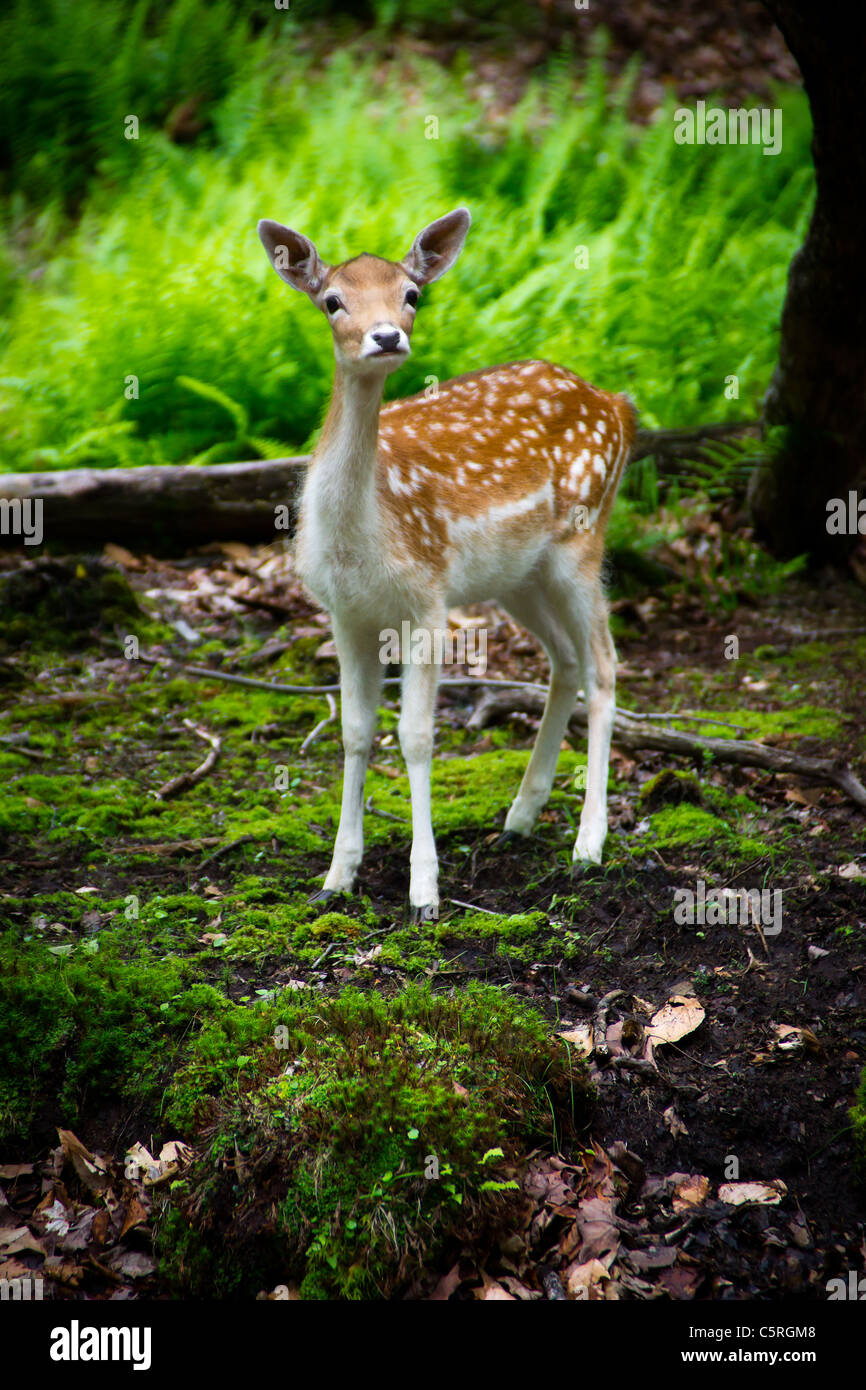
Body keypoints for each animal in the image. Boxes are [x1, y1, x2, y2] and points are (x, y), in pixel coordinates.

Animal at [258, 208, 636, 923]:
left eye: (411, 293)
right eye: (332, 300)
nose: (385, 336)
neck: (362, 533)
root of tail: (617, 404)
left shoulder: (427, 601)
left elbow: (415, 736)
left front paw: (424, 892)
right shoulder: (343, 613)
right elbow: (355, 731)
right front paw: (336, 877)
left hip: (582, 539)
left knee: (604, 665)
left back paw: (588, 843)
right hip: (520, 577)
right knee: (566, 660)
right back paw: (520, 816)